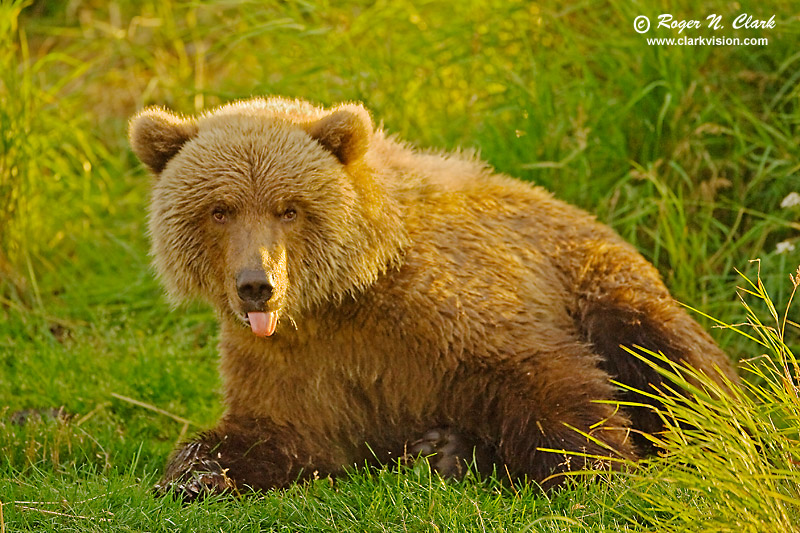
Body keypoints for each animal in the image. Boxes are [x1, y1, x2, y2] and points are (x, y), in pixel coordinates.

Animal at [128, 96, 738, 499]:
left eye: (289, 208)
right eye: (220, 209)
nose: (257, 284)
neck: (341, 298)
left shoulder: (445, 309)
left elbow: (542, 377)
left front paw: (592, 468)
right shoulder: (296, 362)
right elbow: (280, 434)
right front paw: (196, 474)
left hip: (600, 282)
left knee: (667, 356)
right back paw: (445, 450)